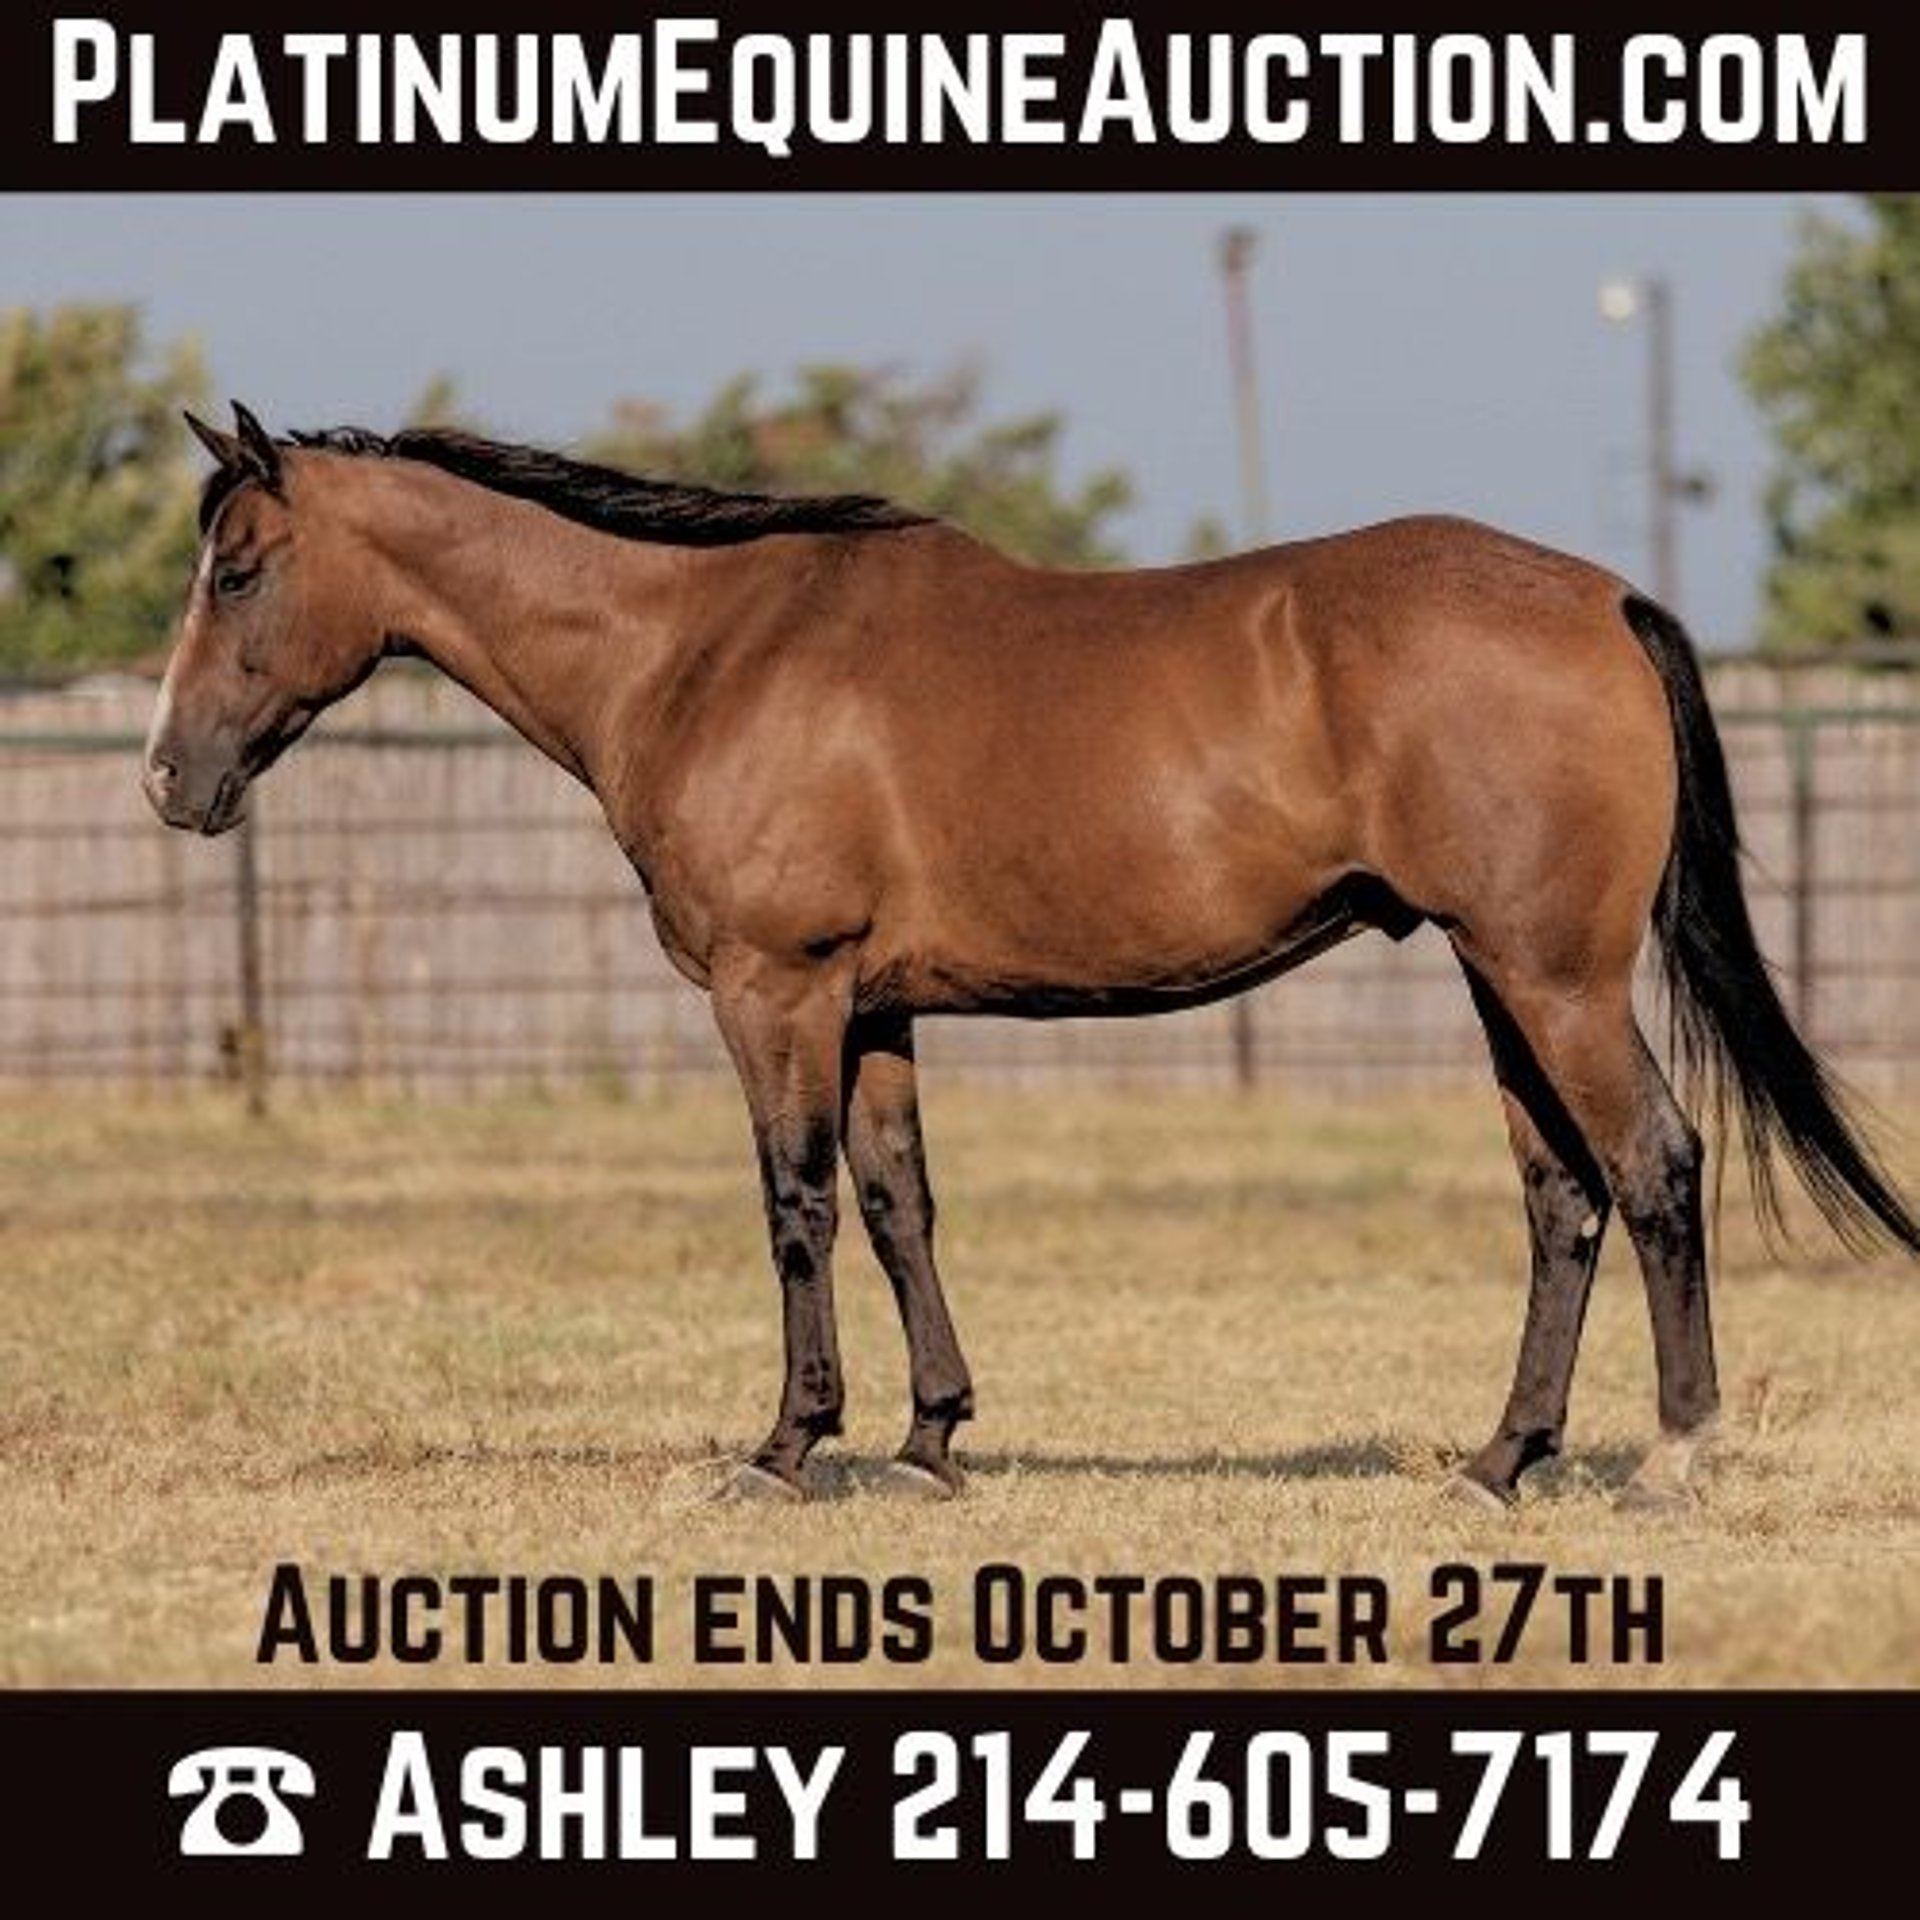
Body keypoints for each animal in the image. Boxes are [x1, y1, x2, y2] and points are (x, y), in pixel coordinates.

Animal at [143, 401, 1918, 1512]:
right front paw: (930, 1439)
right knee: (1562, 1202)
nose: (168, 778)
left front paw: (784, 1450)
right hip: (1501, 981)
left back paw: (1674, 1457)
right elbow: (896, 1207)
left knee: (1656, 1169)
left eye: (239, 569)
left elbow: (794, 1211)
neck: (705, 651)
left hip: (1553, 979)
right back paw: (1497, 1467)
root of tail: (1604, 598)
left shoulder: (776, 991)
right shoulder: (870, 1010)